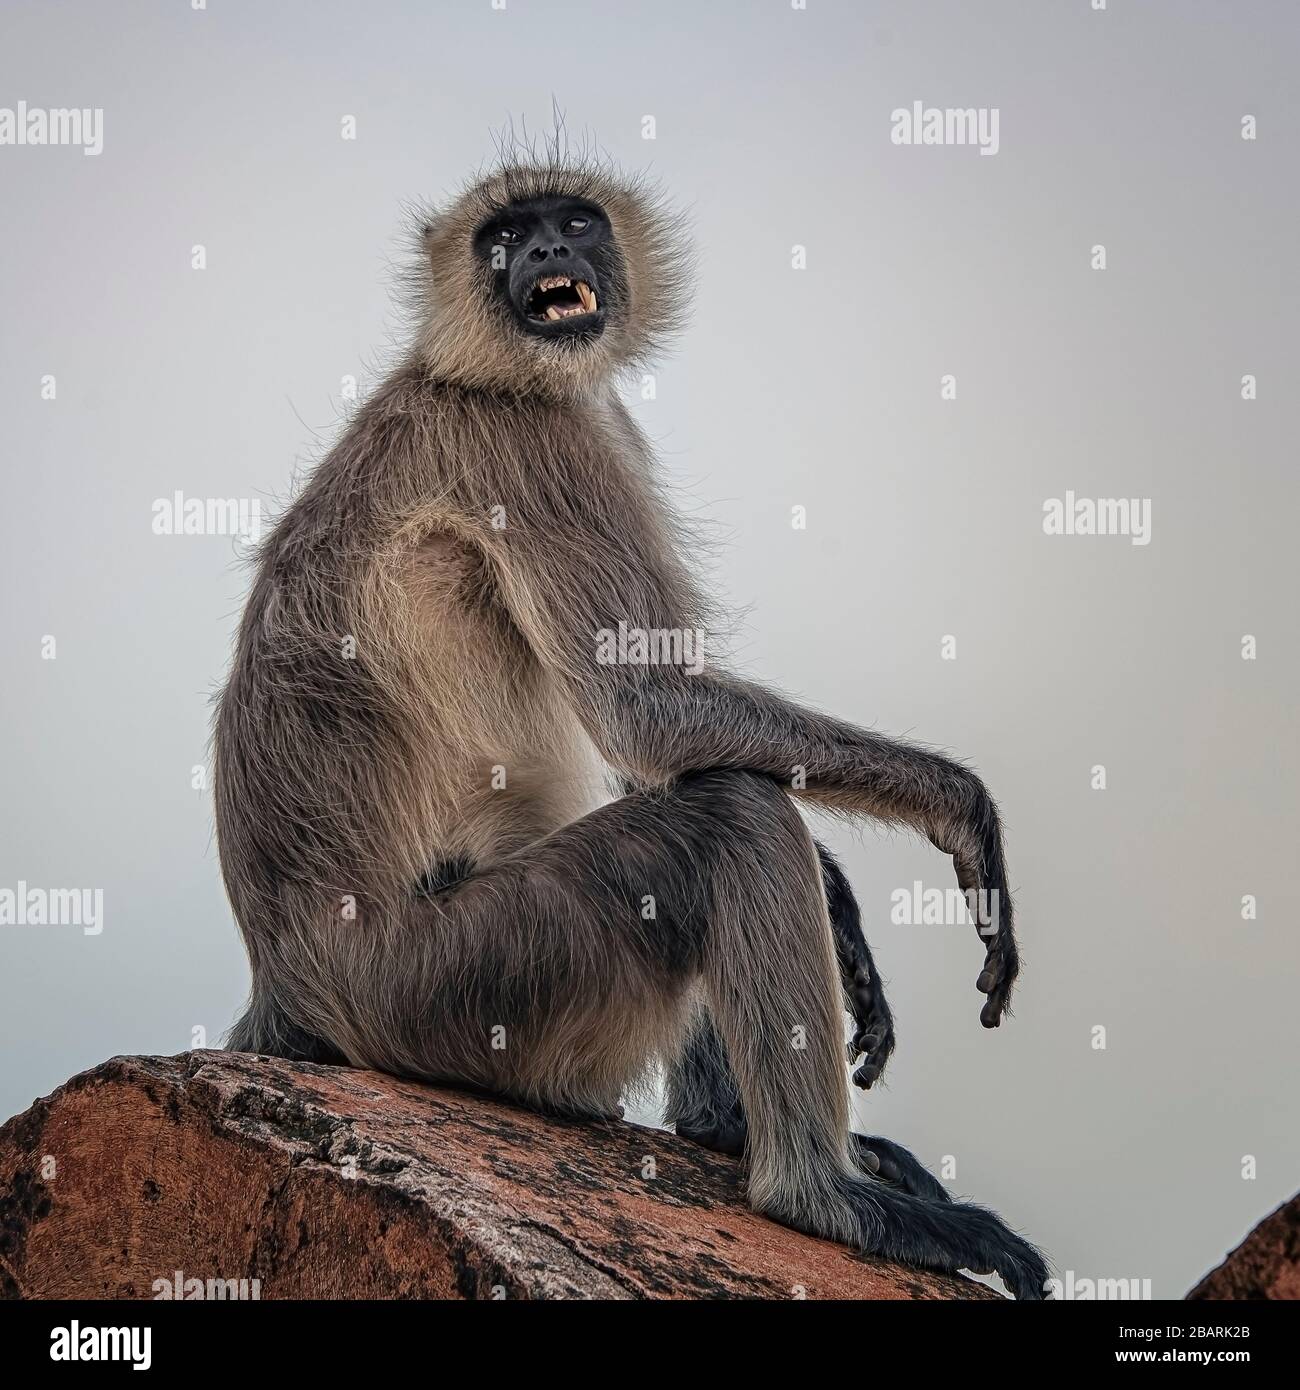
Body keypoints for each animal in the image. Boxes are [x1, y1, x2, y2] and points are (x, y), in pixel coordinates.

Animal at [213, 147, 1048, 1299]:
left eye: (571, 222)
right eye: (505, 238)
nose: (546, 253)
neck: (471, 372)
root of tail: (285, 982)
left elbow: (658, 742)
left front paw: (842, 896)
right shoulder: (535, 440)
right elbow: (648, 714)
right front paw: (957, 805)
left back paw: (722, 1130)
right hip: (454, 981)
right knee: (729, 818)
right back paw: (816, 1195)